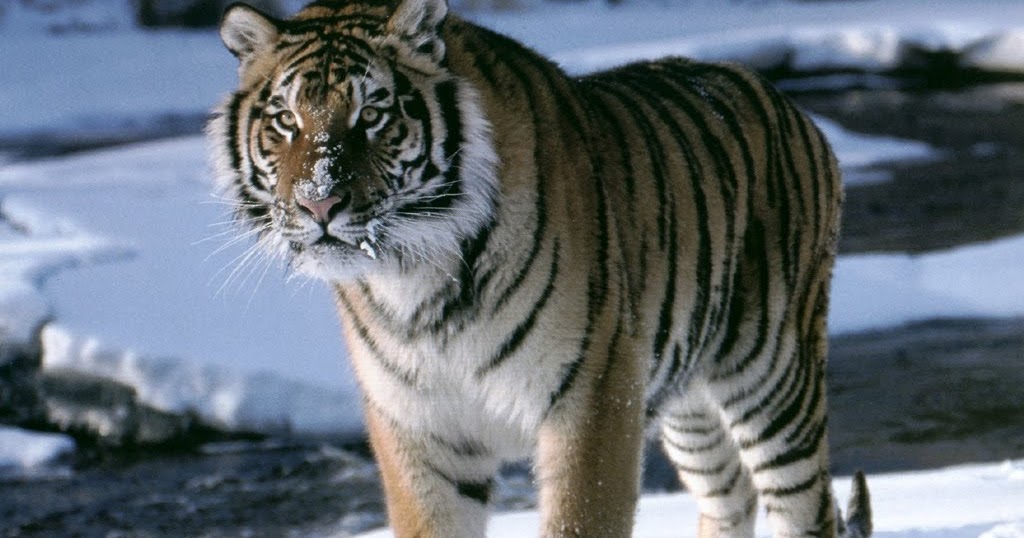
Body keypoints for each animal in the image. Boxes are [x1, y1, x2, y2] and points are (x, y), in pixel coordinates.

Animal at [207, 0, 873, 536]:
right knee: (729, 493)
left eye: (372, 115)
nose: (318, 203)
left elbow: (580, 518)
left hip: (771, 371)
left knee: (804, 503)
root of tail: (792, 106)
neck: (415, 279)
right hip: (688, 400)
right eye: (286, 120)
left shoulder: (593, 395)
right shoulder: (419, 428)